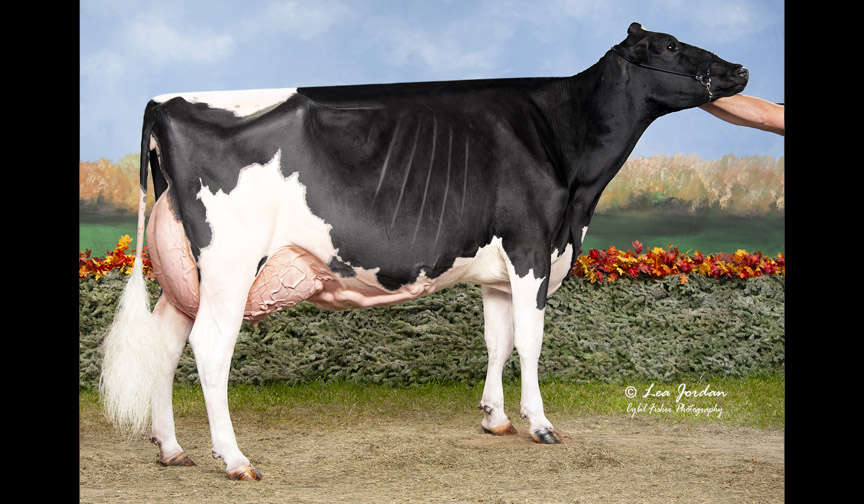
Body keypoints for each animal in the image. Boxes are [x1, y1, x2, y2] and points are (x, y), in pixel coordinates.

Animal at [99, 22, 749, 480]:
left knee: (166, 343)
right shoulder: (533, 250)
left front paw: (496, 419)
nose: (740, 68)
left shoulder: (497, 271)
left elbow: (498, 339)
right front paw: (540, 424)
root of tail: (164, 102)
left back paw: (173, 449)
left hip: (184, 272)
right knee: (210, 349)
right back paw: (234, 459)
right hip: (230, 264)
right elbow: (531, 341)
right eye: (669, 46)